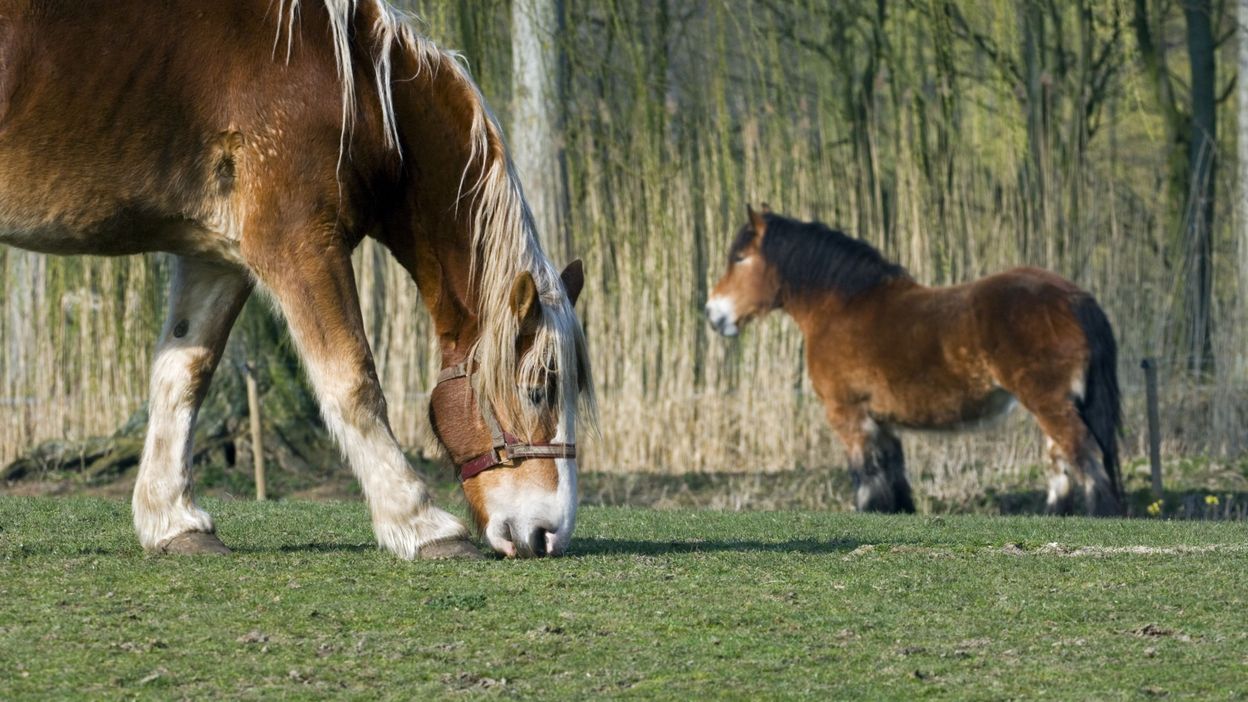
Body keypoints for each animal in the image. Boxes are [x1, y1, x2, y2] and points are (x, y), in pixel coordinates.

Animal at [0, 0, 595, 558]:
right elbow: (352, 381)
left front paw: (172, 521)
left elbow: (183, 374)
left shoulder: (217, 256)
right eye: (538, 389)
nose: (549, 533)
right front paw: (421, 524)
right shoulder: (299, 242)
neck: (355, 83)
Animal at [706, 206, 1123, 517]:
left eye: (739, 258)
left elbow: (866, 475)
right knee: (1060, 460)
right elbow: (893, 473)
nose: (713, 313)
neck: (841, 306)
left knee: (1084, 455)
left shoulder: (848, 414)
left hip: (1049, 404)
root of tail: (1074, 297)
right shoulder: (882, 420)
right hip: (1055, 404)